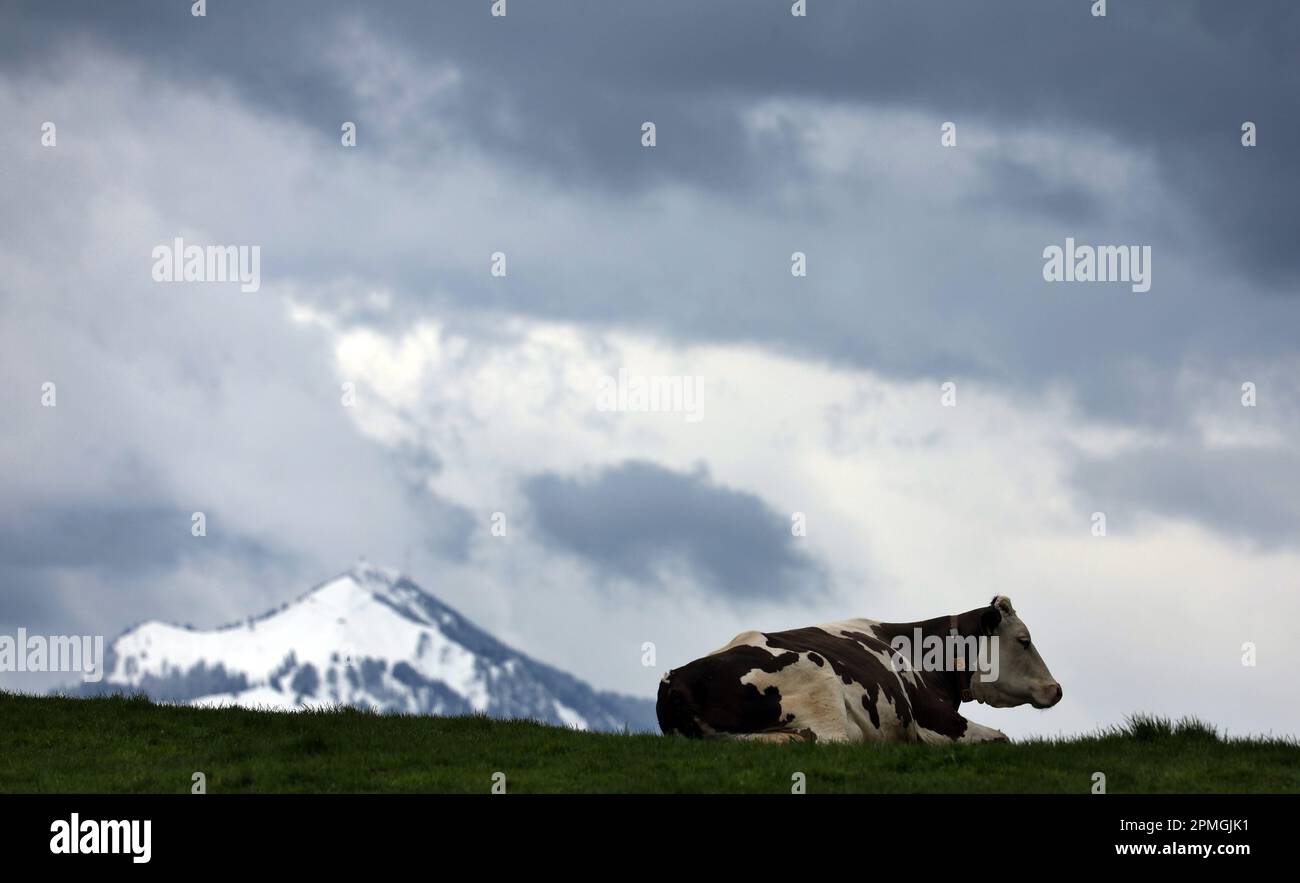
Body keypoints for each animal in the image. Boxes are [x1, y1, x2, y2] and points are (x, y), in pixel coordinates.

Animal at [656, 596, 1061, 743]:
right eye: (1024, 639)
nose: (1056, 688)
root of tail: (676, 678)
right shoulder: (933, 719)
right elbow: (1001, 738)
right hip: (818, 679)